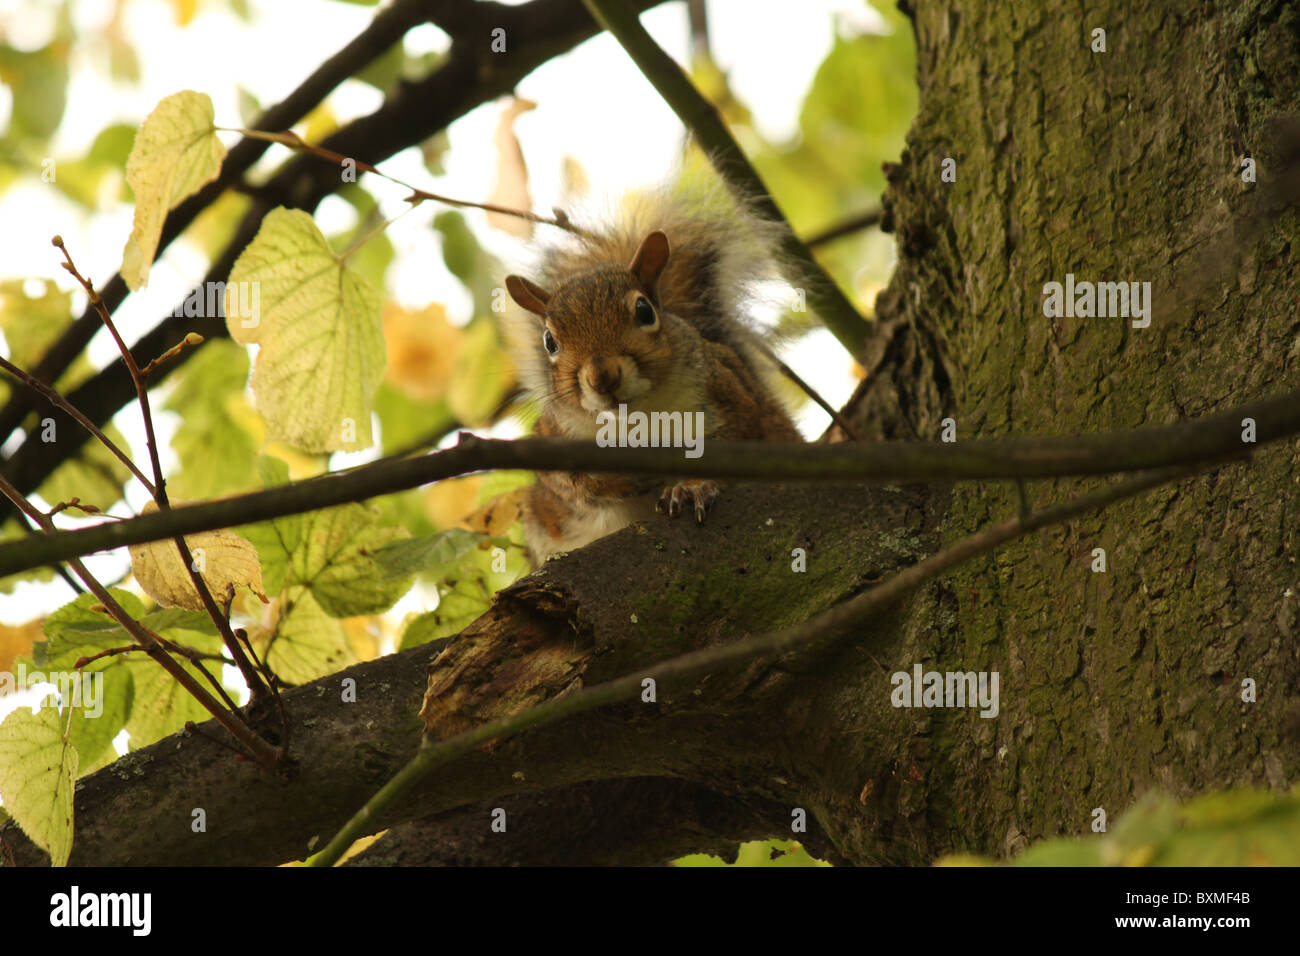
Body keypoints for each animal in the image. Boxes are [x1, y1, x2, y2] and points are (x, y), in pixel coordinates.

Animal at [503, 186, 802, 566]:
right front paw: (623, 479)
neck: (637, 419)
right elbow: (571, 484)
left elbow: (734, 441)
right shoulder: (552, 435)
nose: (602, 377)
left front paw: (690, 489)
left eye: (644, 311)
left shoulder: (728, 393)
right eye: (549, 342)